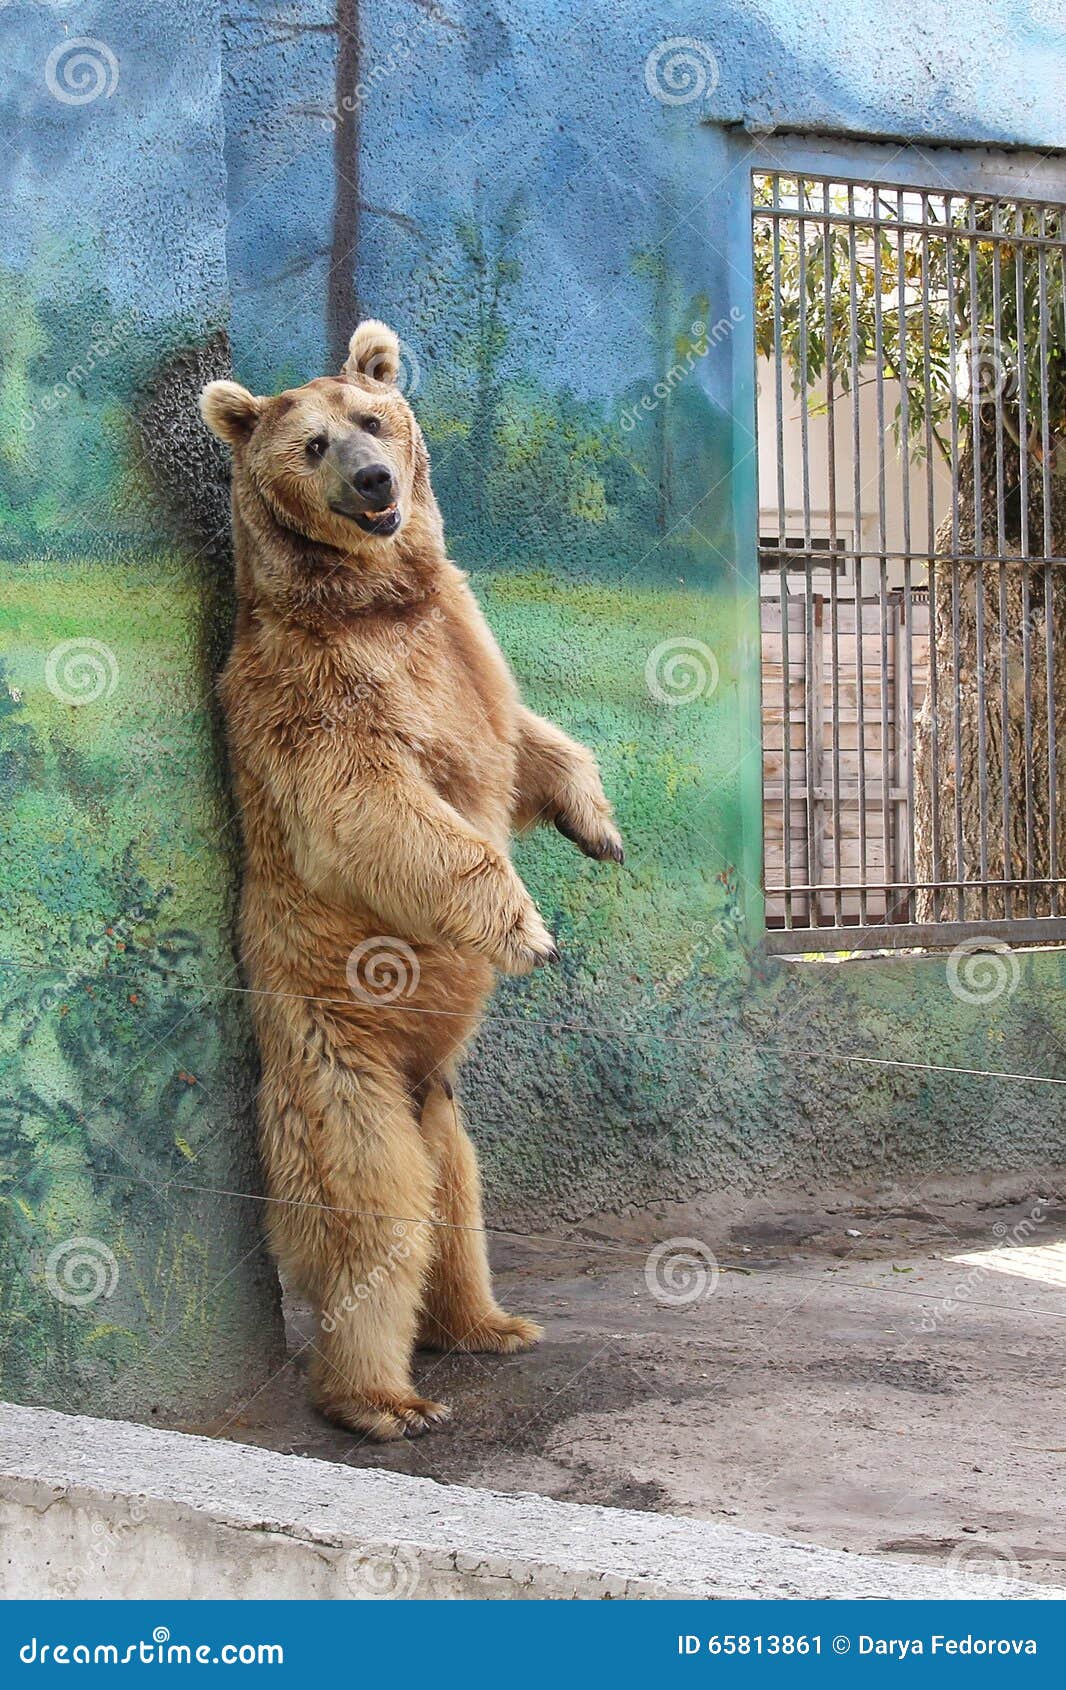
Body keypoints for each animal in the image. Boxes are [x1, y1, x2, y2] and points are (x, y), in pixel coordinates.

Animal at [200, 321, 622, 1440]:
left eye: (375, 415)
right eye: (312, 444)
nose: (374, 480)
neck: (380, 598)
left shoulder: (464, 646)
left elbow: (524, 743)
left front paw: (598, 825)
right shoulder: (318, 688)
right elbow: (378, 807)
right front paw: (527, 930)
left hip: (439, 1097)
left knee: (458, 1194)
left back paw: (489, 1322)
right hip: (336, 1051)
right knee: (375, 1207)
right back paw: (381, 1397)